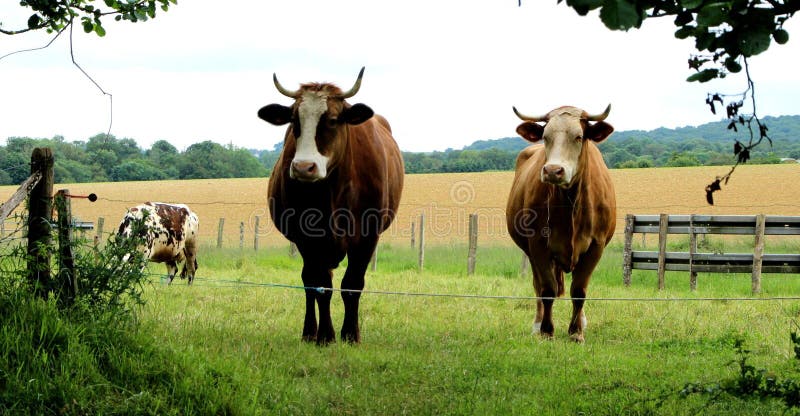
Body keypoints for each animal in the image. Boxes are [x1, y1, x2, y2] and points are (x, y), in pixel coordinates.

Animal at [257, 67, 404, 344]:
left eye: (333, 120)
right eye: (294, 121)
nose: (303, 167)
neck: (334, 193)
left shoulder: (367, 237)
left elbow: (352, 284)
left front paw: (350, 334)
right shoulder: (309, 239)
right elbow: (321, 286)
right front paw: (325, 335)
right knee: (309, 282)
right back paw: (309, 332)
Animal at [506, 104, 616, 343]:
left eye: (579, 136)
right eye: (545, 136)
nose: (553, 171)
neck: (569, 205)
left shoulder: (596, 246)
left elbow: (579, 291)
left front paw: (576, 332)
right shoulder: (538, 246)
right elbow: (547, 289)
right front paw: (547, 330)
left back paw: (581, 321)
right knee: (538, 285)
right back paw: (537, 324)